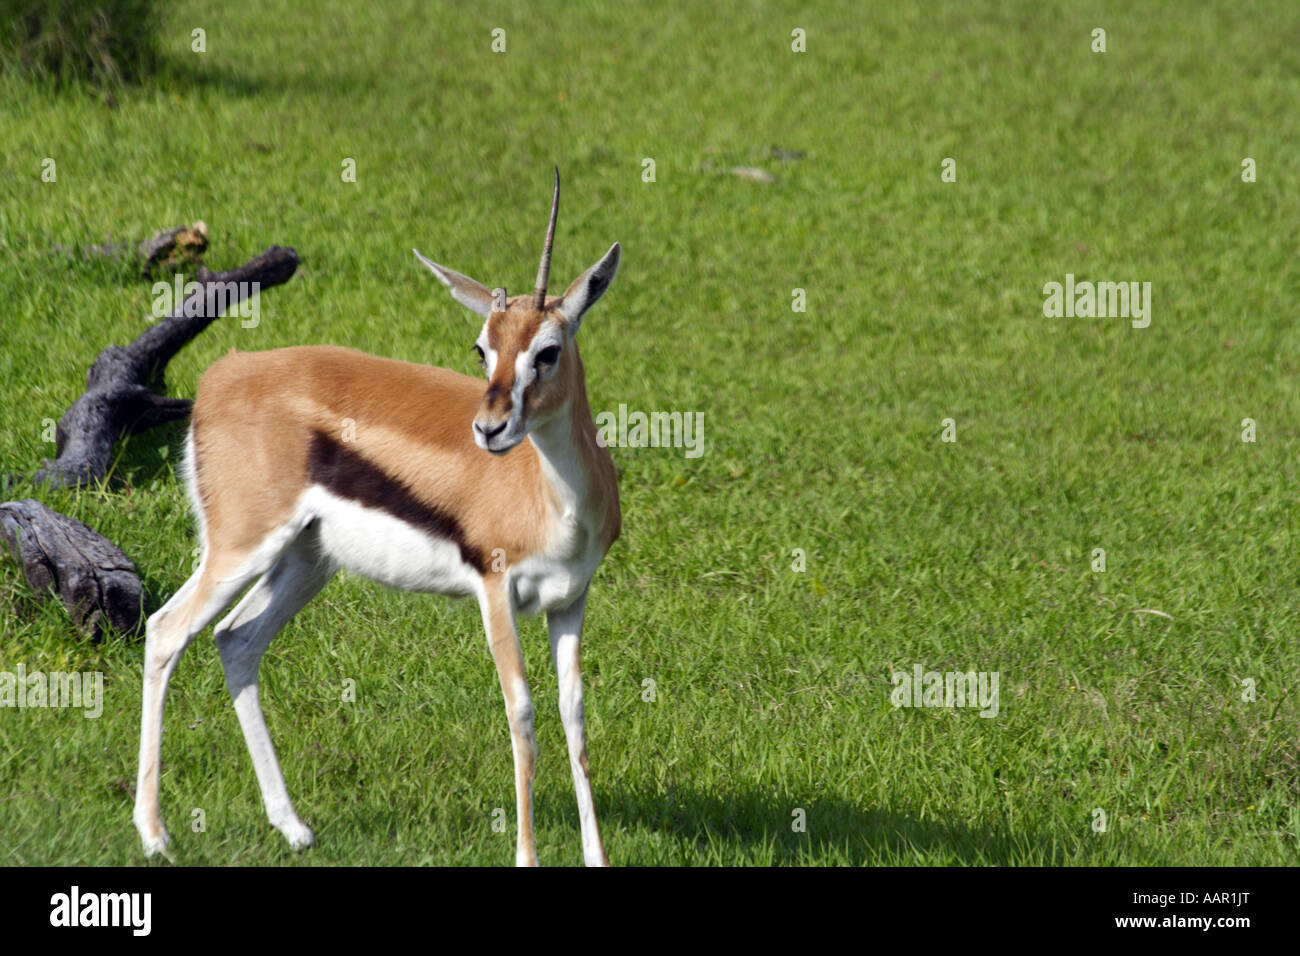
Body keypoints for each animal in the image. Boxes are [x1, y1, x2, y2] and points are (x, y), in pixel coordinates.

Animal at [133, 169, 621, 866]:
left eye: (547, 351)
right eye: (482, 349)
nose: (490, 428)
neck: (552, 499)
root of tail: (221, 375)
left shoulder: (570, 600)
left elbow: (574, 717)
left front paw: (596, 857)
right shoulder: (495, 591)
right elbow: (522, 715)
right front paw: (527, 857)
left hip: (306, 561)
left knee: (236, 639)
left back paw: (292, 826)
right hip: (240, 547)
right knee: (166, 631)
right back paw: (154, 832)